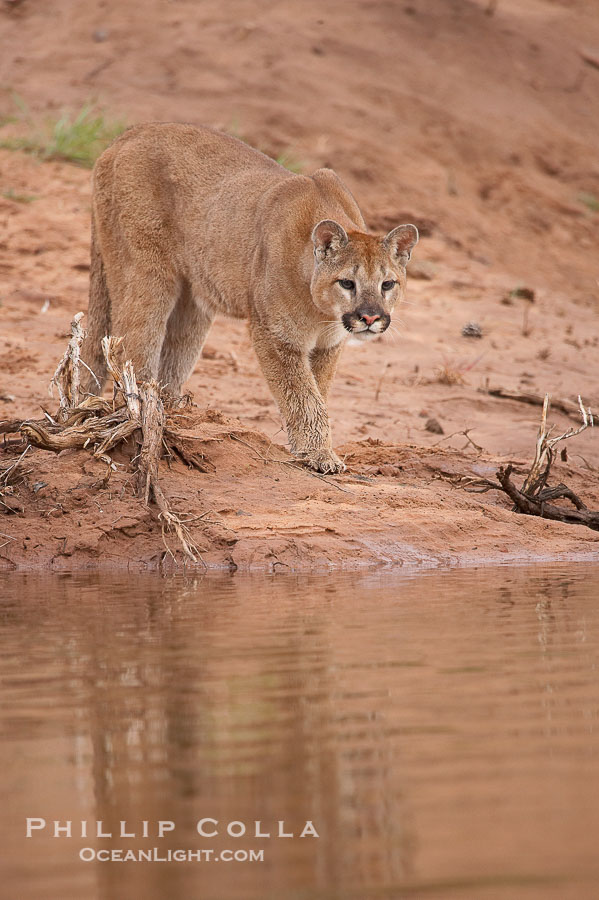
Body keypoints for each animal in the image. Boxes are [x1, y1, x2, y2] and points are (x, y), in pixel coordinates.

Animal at [82, 123, 418, 473]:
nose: (370, 317)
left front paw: (315, 448)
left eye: (387, 284)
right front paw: (319, 455)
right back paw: (143, 417)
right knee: (131, 344)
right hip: (146, 273)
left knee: (172, 355)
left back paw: (174, 415)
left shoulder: (329, 345)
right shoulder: (275, 336)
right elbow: (303, 396)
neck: (321, 311)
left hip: (194, 298)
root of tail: (128, 134)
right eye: (348, 283)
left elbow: (319, 392)